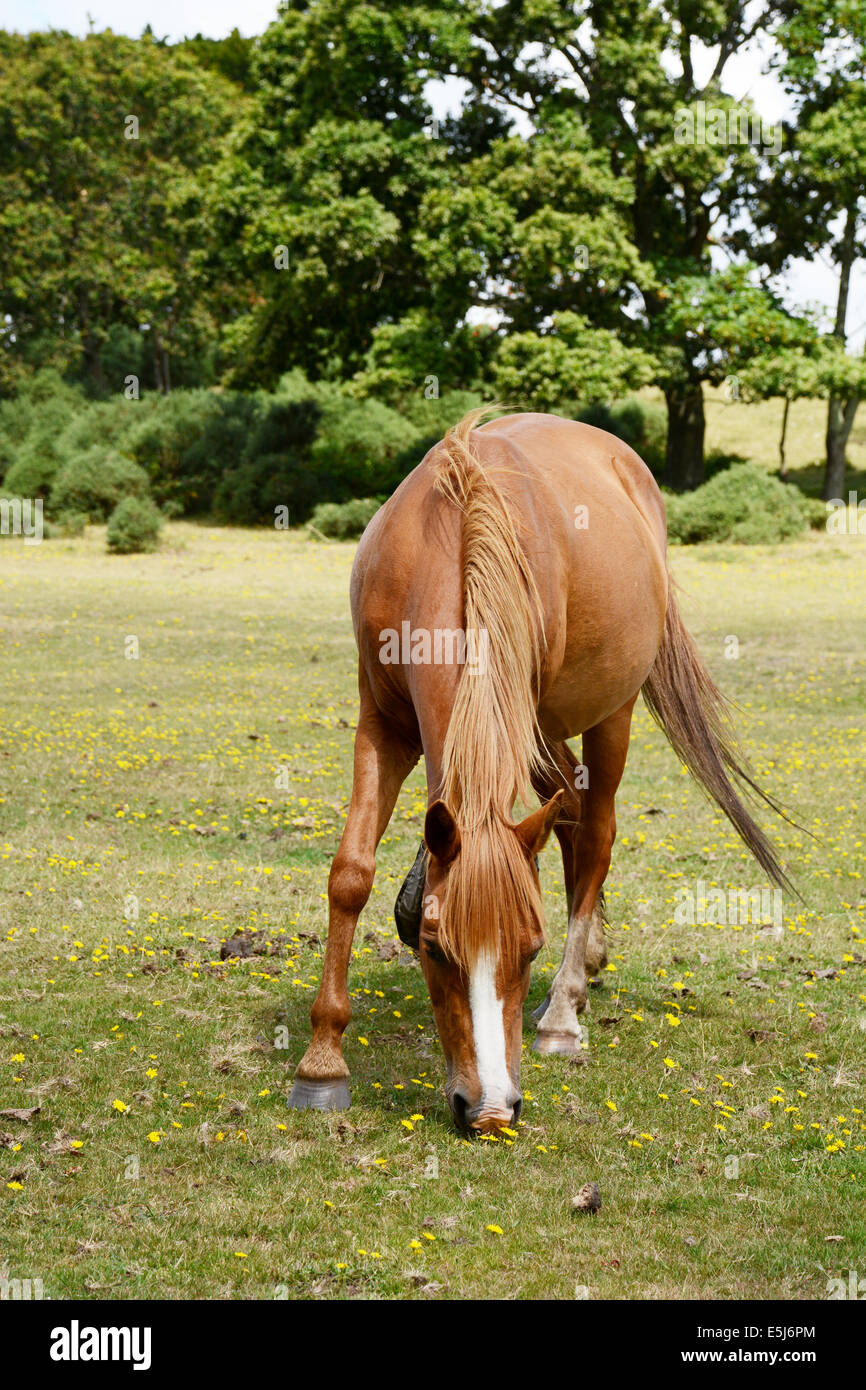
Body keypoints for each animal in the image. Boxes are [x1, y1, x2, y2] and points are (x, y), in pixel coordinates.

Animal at [288, 409, 791, 1134]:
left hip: (604, 716)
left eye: (530, 947)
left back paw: (562, 1012)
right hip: (544, 736)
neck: (453, 534)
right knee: (572, 822)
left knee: (598, 828)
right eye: (434, 948)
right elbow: (351, 873)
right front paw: (323, 1061)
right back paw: (588, 965)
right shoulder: (381, 722)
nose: (492, 1110)